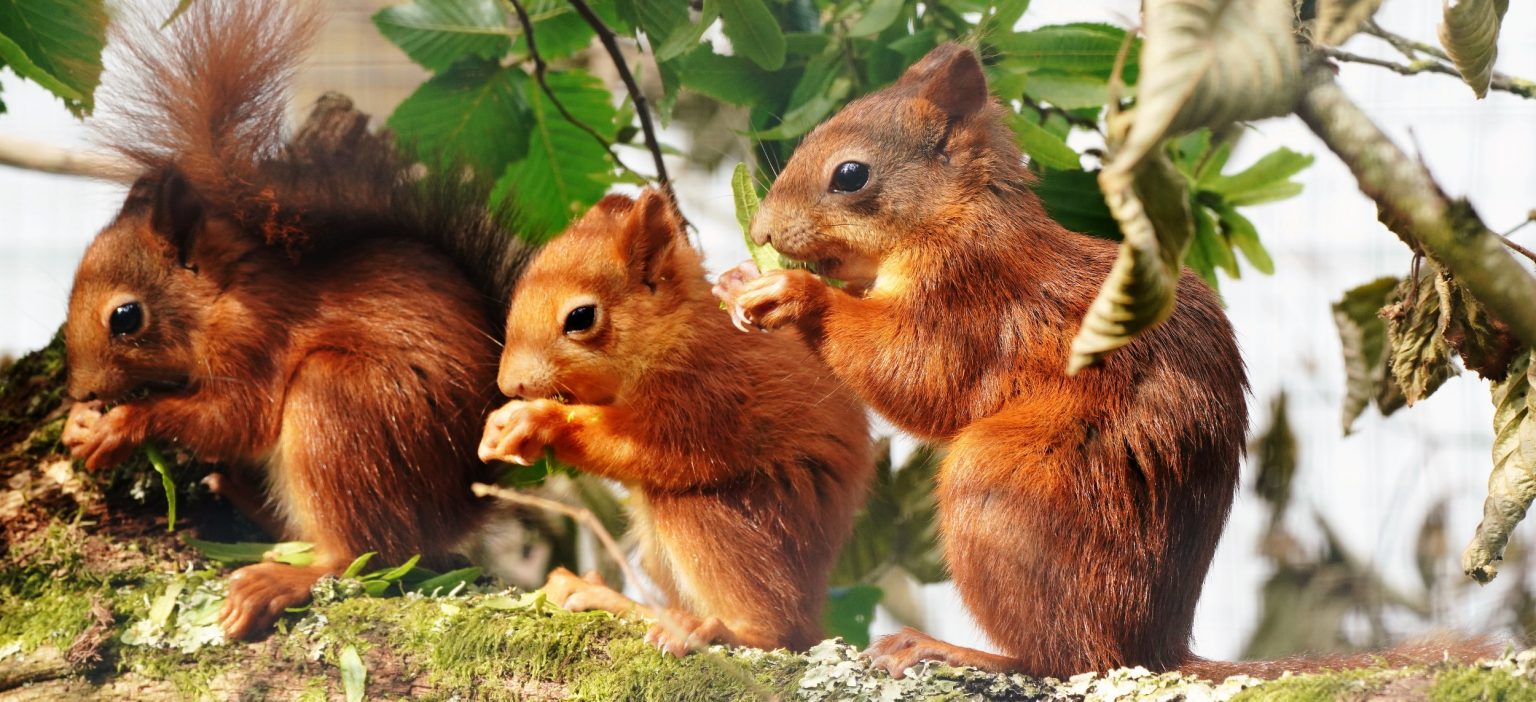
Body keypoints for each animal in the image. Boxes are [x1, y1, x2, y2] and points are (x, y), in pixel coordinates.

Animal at [59, 1, 525, 639]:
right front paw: (80, 423)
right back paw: (238, 495)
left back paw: (278, 580)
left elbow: (237, 420)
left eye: (126, 317)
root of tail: (457, 507)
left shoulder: (257, 339)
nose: (80, 389)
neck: (223, 295)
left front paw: (120, 425)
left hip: (340, 405)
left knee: (361, 553)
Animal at [477, 189, 873, 654]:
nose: (510, 383)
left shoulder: (708, 393)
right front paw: (500, 425)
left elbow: (652, 447)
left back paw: (725, 628)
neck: (674, 327)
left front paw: (541, 420)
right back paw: (604, 596)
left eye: (580, 318)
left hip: (734, 518)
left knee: (775, 628)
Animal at [715, 43, 1489, 678]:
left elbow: (916, 375)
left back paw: (949, 649)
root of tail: (1157, 645)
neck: (956, 219)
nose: (763, 230)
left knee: (1069, 658)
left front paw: (795, 294)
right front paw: (737, 279)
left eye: (850, 174)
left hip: (1003, 494)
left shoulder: (972, 299)